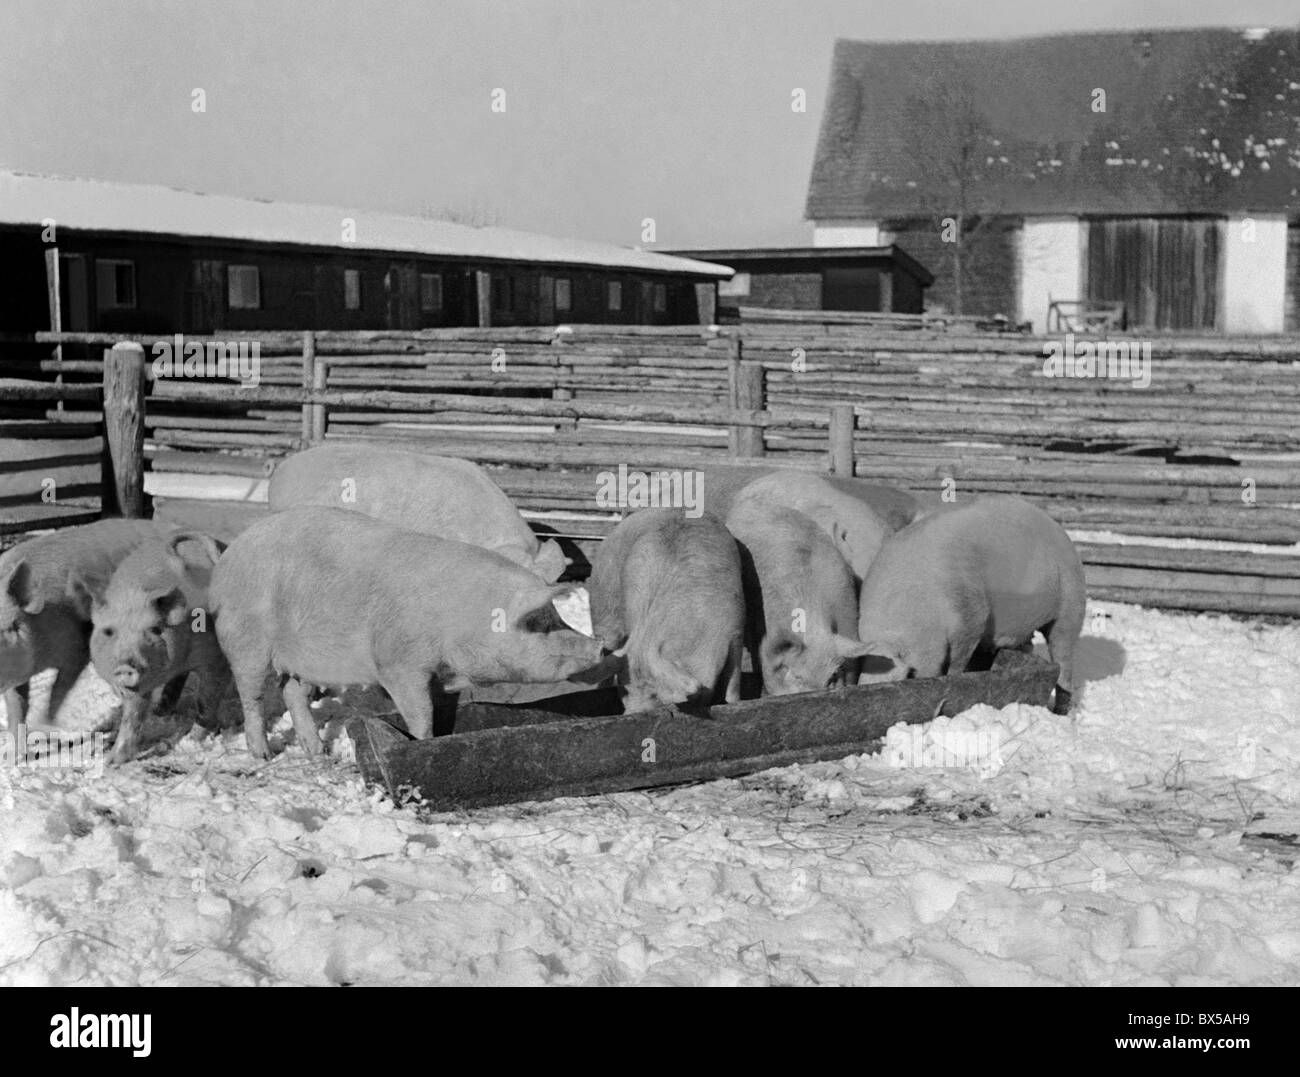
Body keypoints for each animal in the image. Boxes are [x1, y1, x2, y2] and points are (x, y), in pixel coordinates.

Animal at [87, 530, 230, 764]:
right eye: (108, 632)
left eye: (154, 629)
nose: (126, 666)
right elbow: (132, 717)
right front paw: (111, 761)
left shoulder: (214, 656)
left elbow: (206, 701)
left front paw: (192, 741)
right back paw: (161, 710)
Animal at [208, 507, 613, 759]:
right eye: (539, 623)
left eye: (556, 617)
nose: (601, 647)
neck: (461, 620)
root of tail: (227, 559)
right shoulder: (398, 664)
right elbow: (419, 713)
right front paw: (421, 742)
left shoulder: (441, 676)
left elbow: (443, 710)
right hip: (245, 641)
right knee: (252, 695)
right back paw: (261, 755)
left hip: (304, 657)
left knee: (292, 691)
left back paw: (317, 752)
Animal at [587, 508, 744, 712]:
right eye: (625, 687)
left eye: (655, 694)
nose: (631, 714)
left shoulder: (735, 630)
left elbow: (733, 687)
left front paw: (733, 703)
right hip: (603, 602)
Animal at [855, 494, 1086, 713]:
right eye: (866, 657)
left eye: (902, 656)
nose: (867, 683)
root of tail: (1059, 529)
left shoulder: (972, 613)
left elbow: (959, 659)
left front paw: (954, 679)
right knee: (1027, 646)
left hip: (1071, 606)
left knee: (1064, 661)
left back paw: (1061, 712)